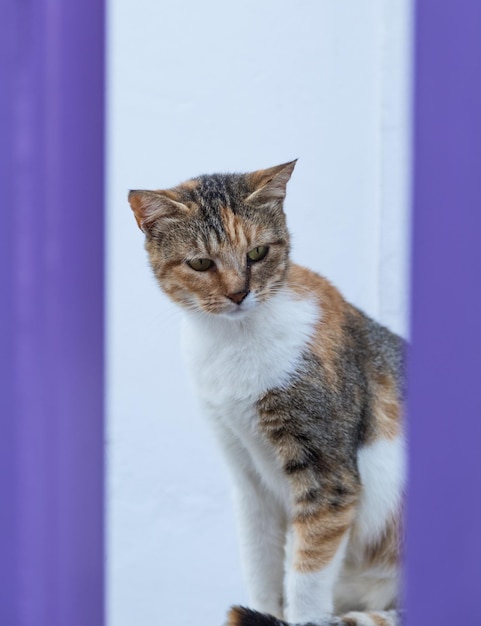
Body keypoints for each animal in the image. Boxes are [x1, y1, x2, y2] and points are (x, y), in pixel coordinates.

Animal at [128, 161, 404, 624]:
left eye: (257, 253)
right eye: (200, 263)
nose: (239, 293)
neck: (234, 342)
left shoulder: (328, 477)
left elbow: (307, 576)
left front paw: (303, 617)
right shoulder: (247, 477)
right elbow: (259, 563)